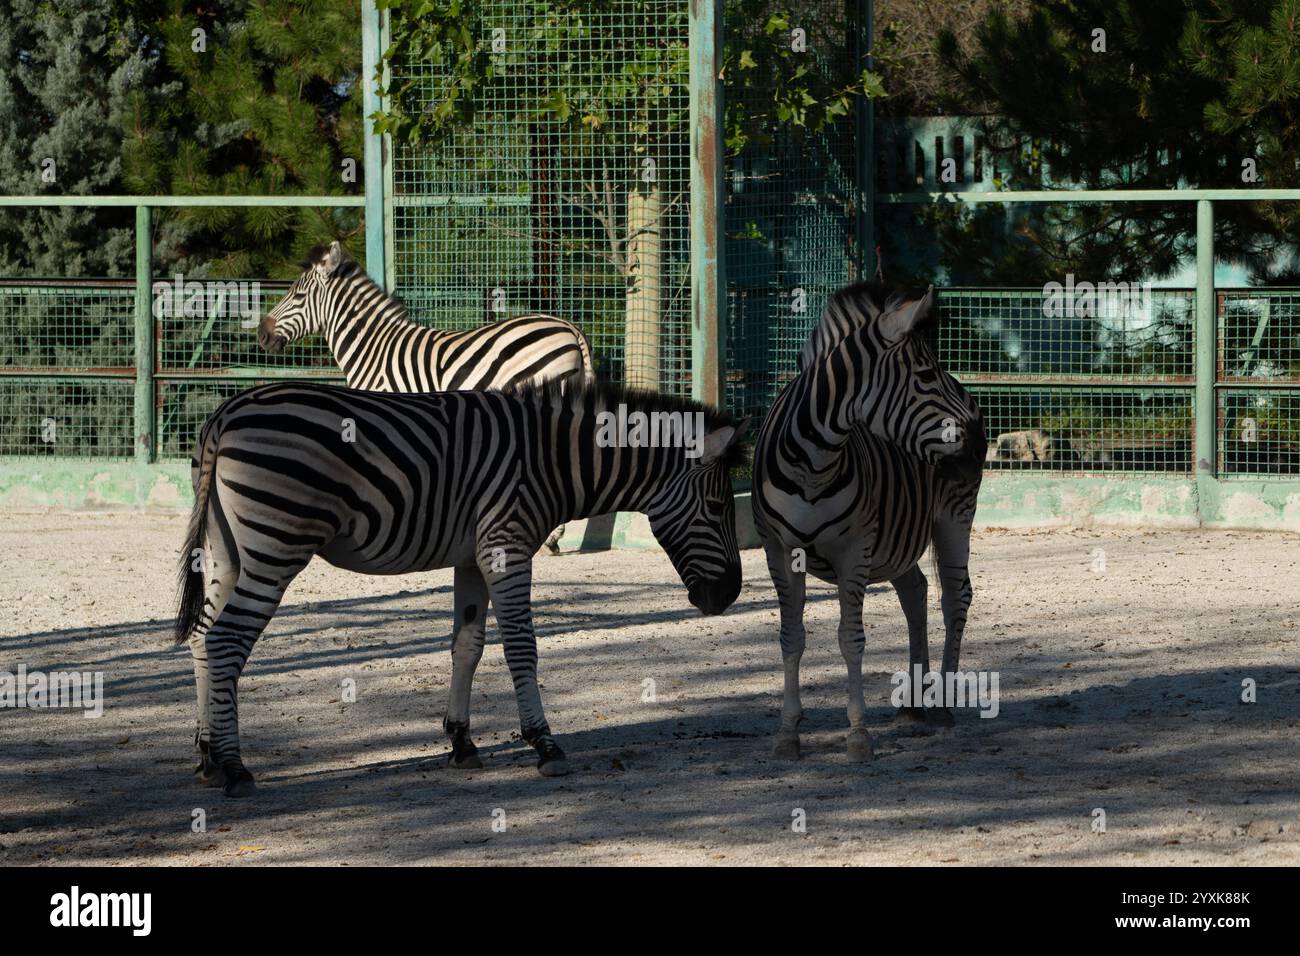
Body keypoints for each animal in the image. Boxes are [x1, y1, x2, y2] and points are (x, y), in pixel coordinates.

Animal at [175, 376, 746, 796]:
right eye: (719, 506)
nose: (727, 597)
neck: (550, 461)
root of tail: (226, 414)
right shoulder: (507, 545)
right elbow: (521, 646)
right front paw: (544, 744)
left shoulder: (473, 557)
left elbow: (467, 645)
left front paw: (462, 743)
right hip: (276, 547)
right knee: (225, 641)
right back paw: (235, 768)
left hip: (228, 552)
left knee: (202, 638)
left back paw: (207, 759)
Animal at [751, 281, 986, 763]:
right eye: (925, 376)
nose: (981, 447)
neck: (813, 460)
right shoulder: (778, 549)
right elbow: (791, 637)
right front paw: (788, 732)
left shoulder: (855, 548)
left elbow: (850, 638)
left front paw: (858, 733)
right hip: (896, 536)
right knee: (916, 591)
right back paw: (915, 703)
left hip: (954, 515)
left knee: (956, 597)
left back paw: (942, 705)